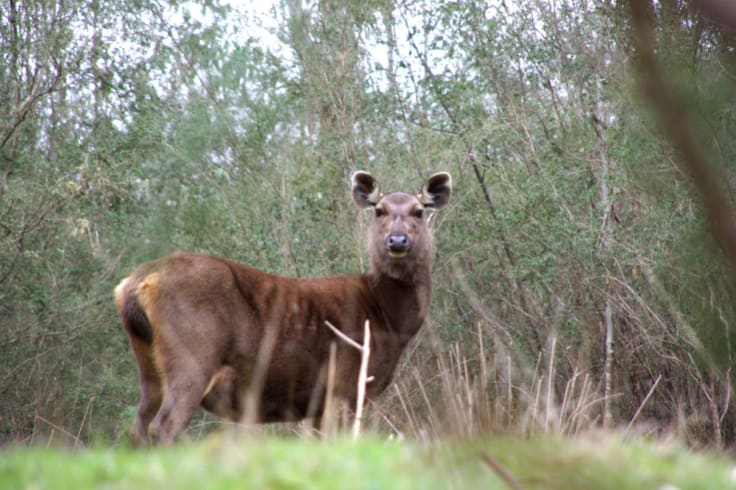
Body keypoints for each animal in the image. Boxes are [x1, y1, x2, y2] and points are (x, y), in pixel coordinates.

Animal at [113, 170, 452, 444]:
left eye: (418, 211)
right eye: (379, 210)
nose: (397, 240)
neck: (385, 319)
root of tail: (134, 283)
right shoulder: (343, 384)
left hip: (148, 366)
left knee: (138, 425)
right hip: (192, 355)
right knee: (163, 426)